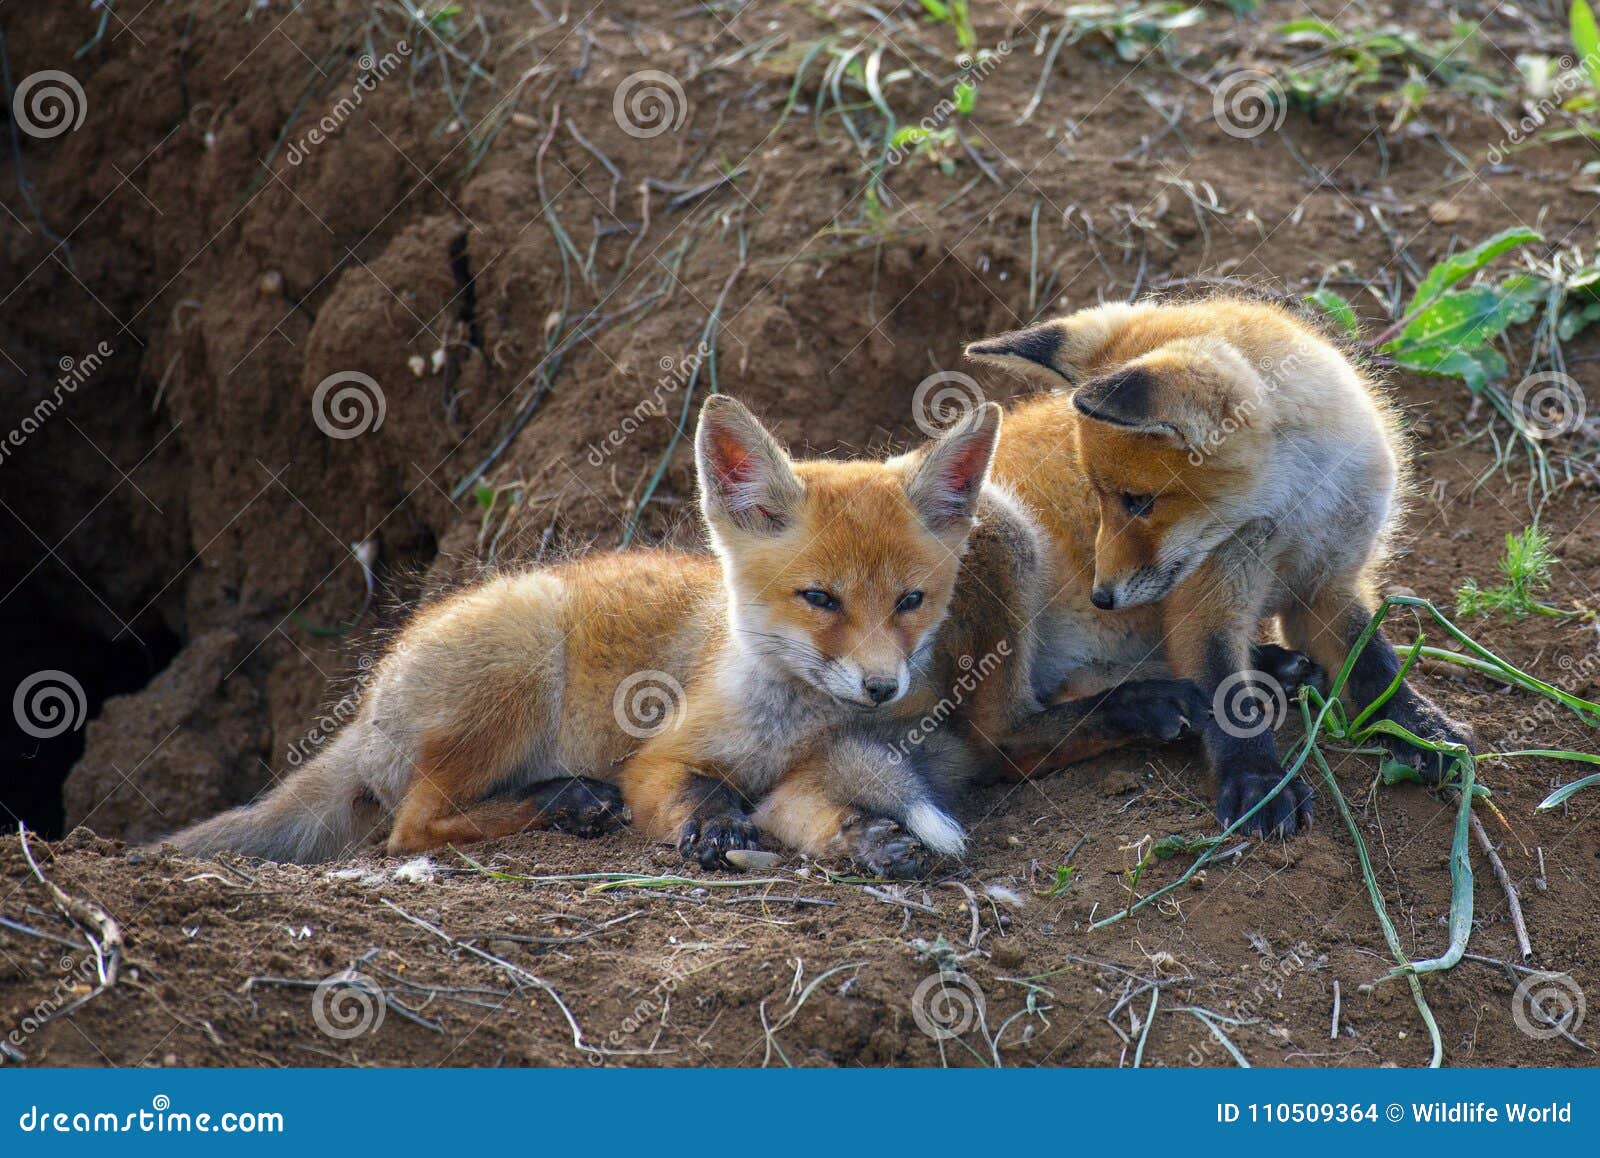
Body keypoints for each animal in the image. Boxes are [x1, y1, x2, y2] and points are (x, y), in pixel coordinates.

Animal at [163, 394, 1205, 876]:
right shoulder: (663, 754)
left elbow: (822, 817)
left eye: (912, 600)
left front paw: (866, 844)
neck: (789, 725)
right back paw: (564, 803)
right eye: (819, 598)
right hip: (518, 670)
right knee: (410, 825)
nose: (880, 688)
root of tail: (368, 703)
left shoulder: (819, 773)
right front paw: (709, 827)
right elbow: (686, 792)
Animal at [965, 297, 1474, 836]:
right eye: (1098, 496)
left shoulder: (1329, 584)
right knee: (996, 744)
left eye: (1139, 501)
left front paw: (1419, 728)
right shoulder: (1205, 598)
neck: (1299, 513)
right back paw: (1143, 706)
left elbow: (1374, 662)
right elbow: (1228, 698)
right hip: (1003, 535)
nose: (1101, 597)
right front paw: (1257, 782)